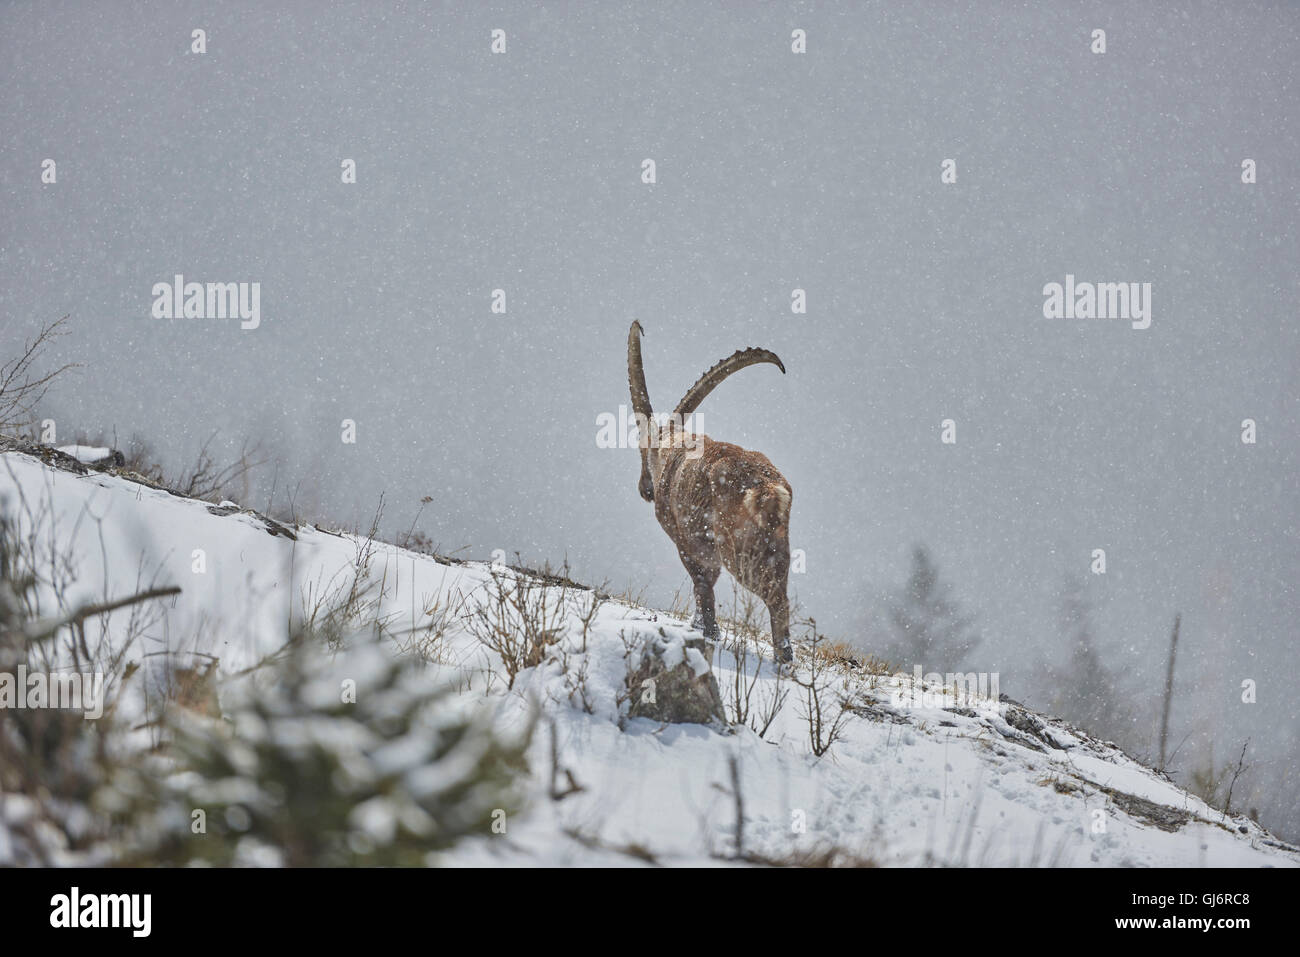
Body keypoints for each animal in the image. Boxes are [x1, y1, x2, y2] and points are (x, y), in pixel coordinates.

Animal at [626, 321, 794, 663]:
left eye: (642, 451)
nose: (645, 490)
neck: (674, 450)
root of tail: (768, 490)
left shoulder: (690, 541)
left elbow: (703, 583)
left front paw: (708, 632)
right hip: (778, 548)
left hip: (740, 552)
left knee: (774, 598)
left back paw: (782, 657)